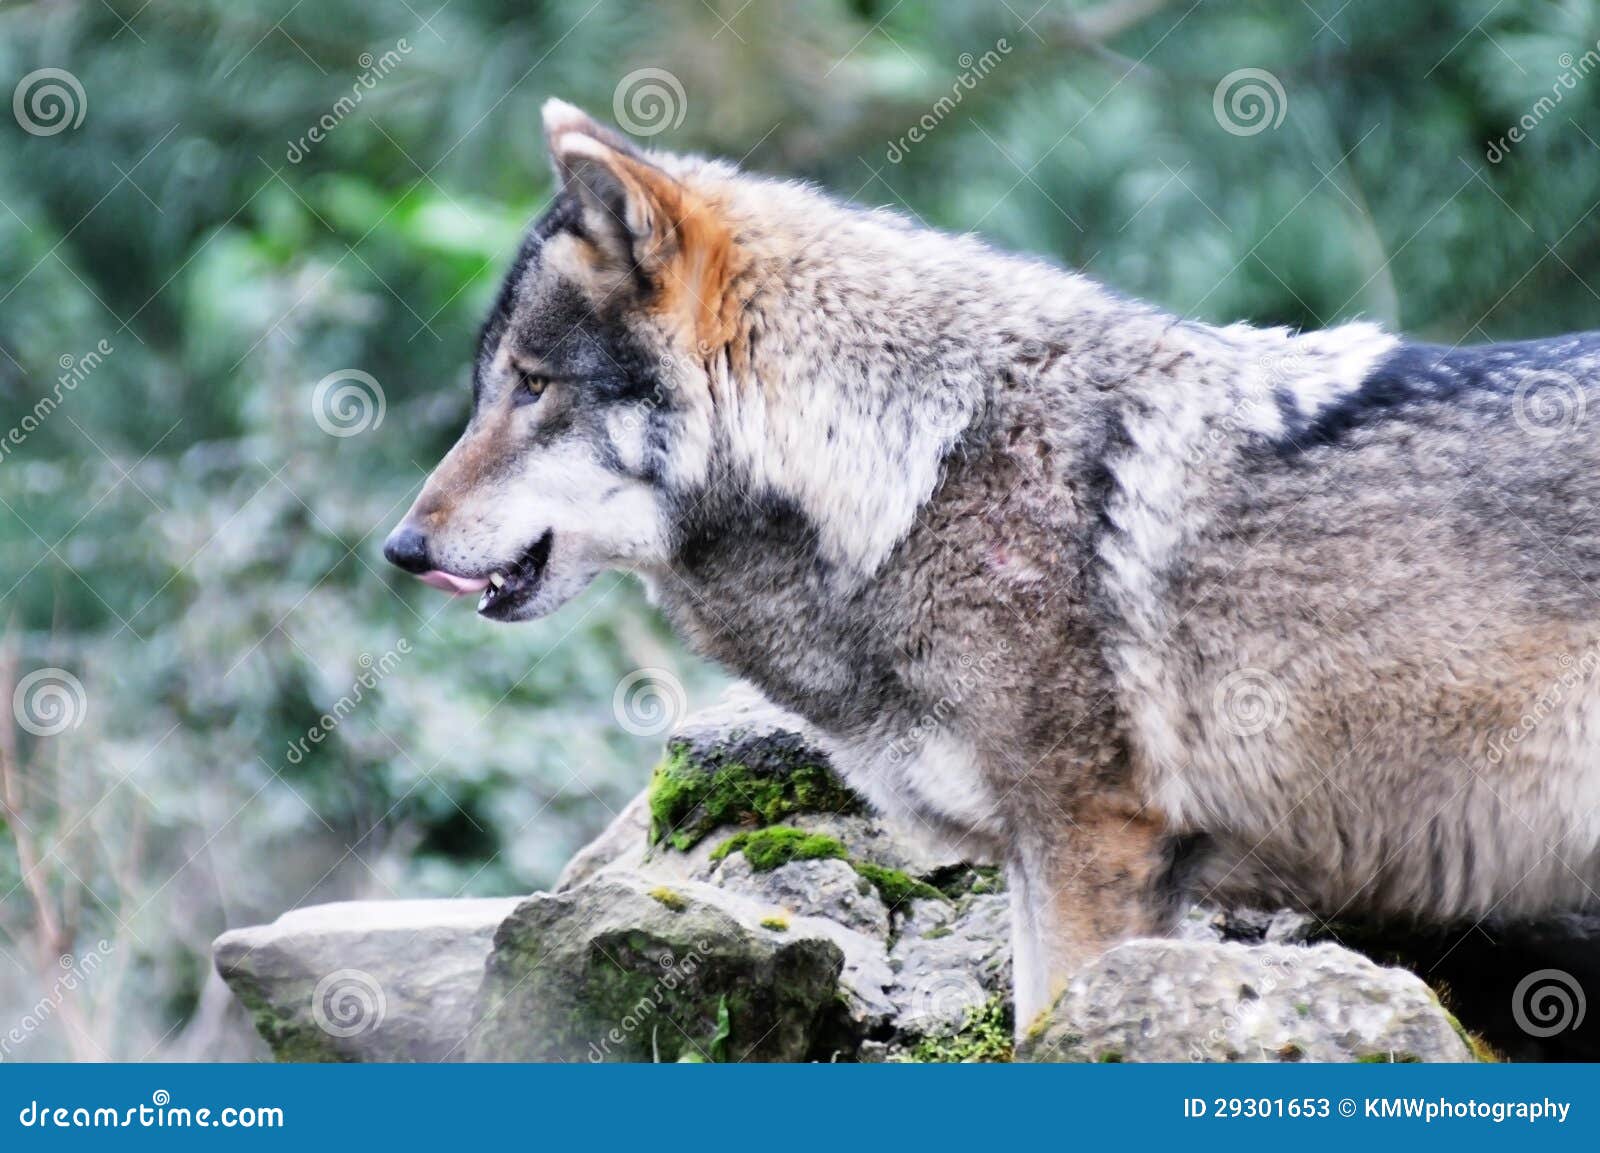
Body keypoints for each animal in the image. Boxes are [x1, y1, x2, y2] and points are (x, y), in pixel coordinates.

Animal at [385, 99, 1600, 1032]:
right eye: (494, 383)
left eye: (532, 385)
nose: (402, 548)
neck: (917, 471)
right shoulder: (1044, 860)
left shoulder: (1090, 849)